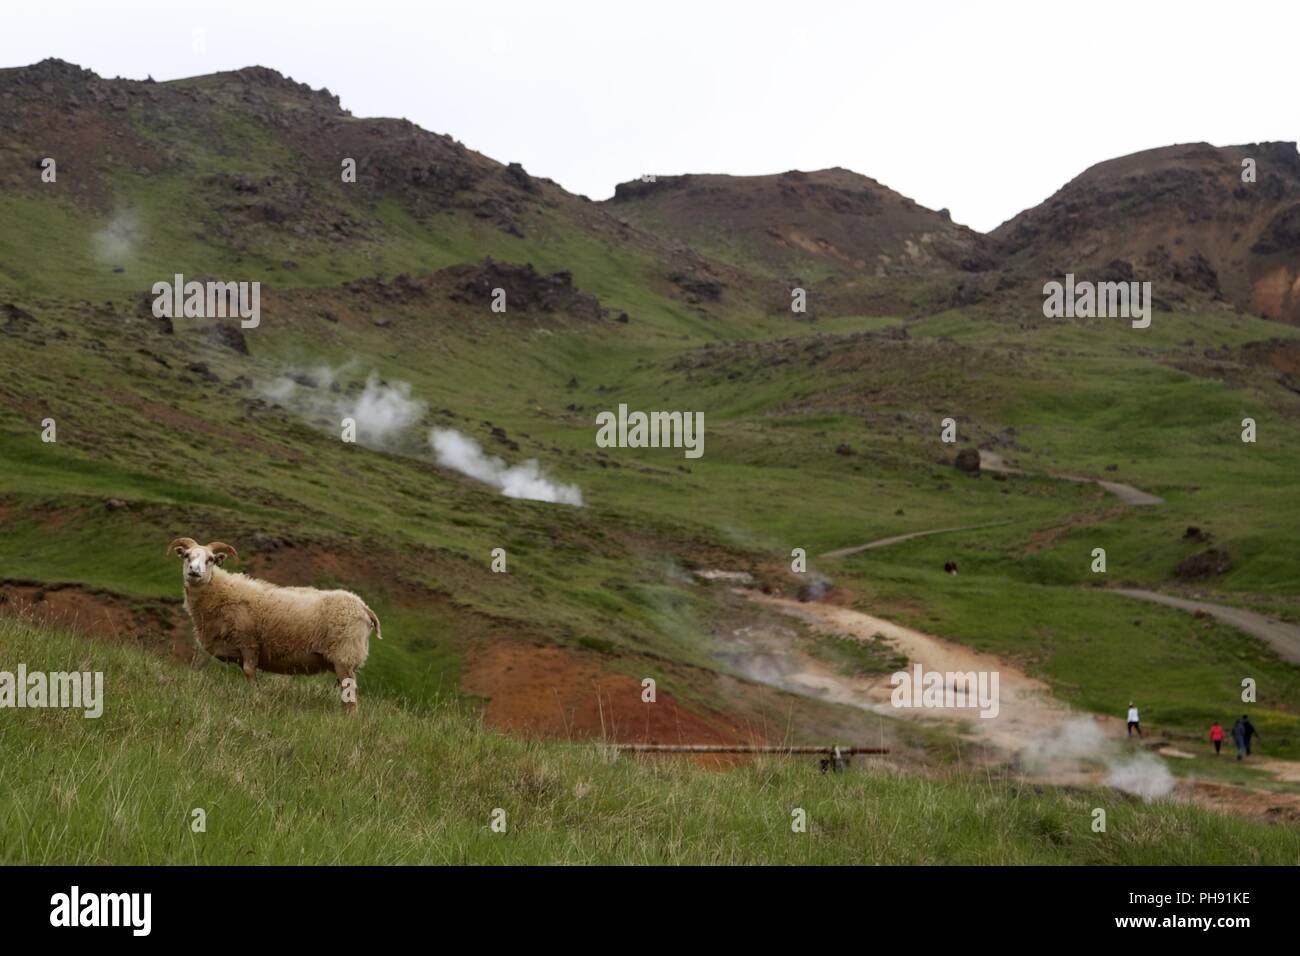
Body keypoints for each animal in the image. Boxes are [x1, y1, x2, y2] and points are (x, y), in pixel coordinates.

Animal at [168, 537, 381, 713]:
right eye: (186, 556)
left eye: (210, 559)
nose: (194, 571)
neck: (220, 592)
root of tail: (364, 607)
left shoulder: (249, 642)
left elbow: (249, 672)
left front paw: (256, 699)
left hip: (345, 655)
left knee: (351, 698)